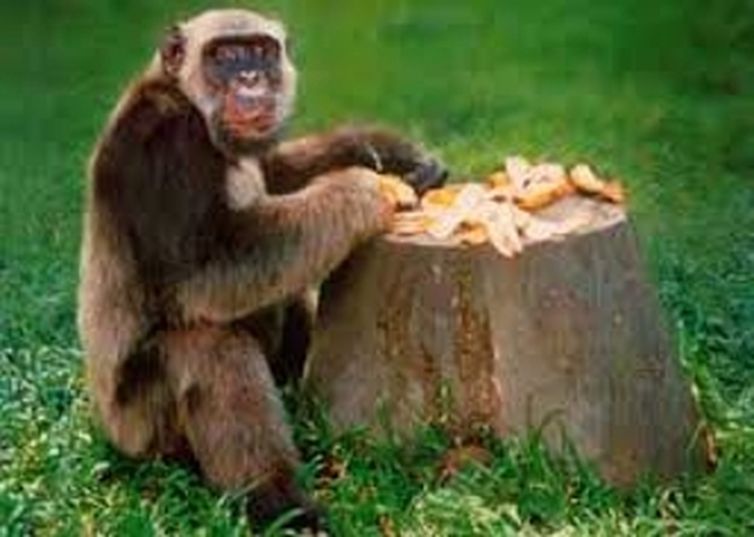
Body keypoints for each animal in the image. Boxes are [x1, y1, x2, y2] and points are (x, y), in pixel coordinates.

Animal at [77, 9, 446, 532]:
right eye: (225, 54)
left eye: (259, 50)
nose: (249, 75)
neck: (189, 104)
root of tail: (110, 432)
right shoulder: (163, 146)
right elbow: (207, 267)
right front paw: (365, 190)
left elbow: (276, 173)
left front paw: (384, 151)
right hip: (143, 432)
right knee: (209, 349)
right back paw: (281, 504)